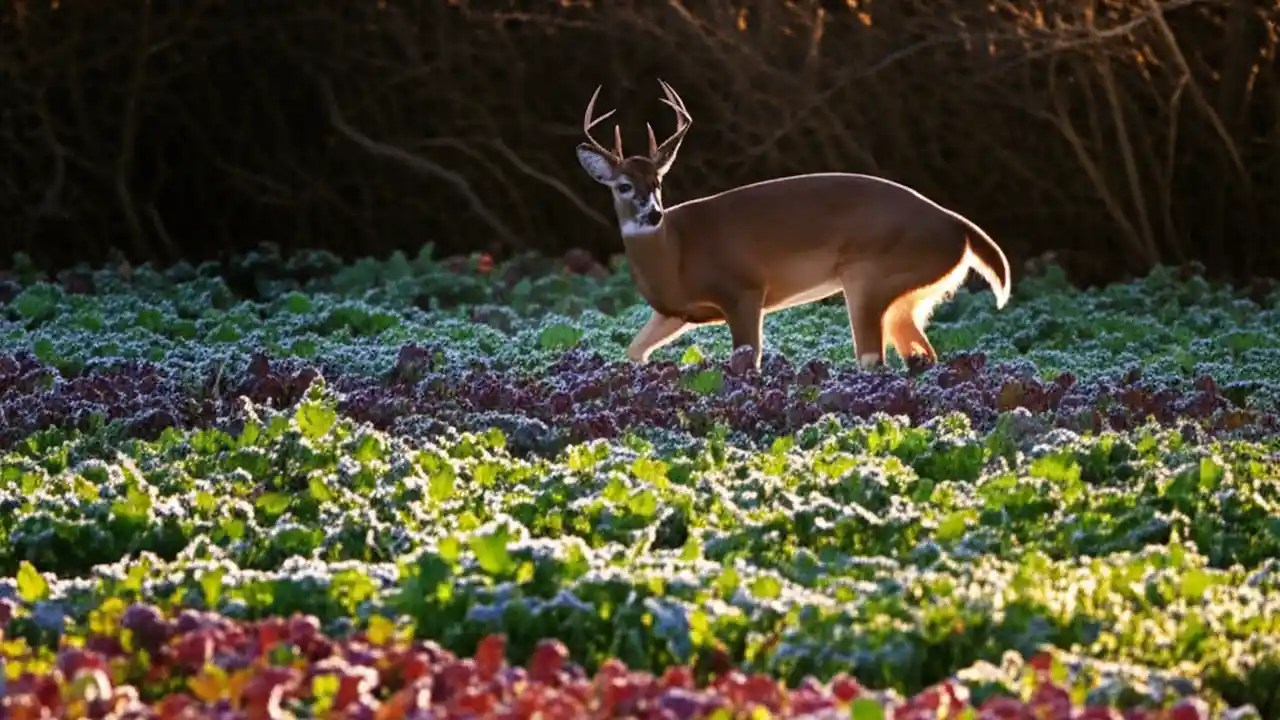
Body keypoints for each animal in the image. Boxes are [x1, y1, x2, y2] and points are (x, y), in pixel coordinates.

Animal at [574, 80, 1012, 372]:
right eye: (624, 185)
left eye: (658, 182)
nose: (653, 214)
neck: (675, 255)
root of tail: (959, 227)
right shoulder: (674, 312)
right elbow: (634, 351)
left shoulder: (744, 290)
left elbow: (748, 359)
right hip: (908, 294)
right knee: (922, 353)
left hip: (871, 276)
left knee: (872, 358)